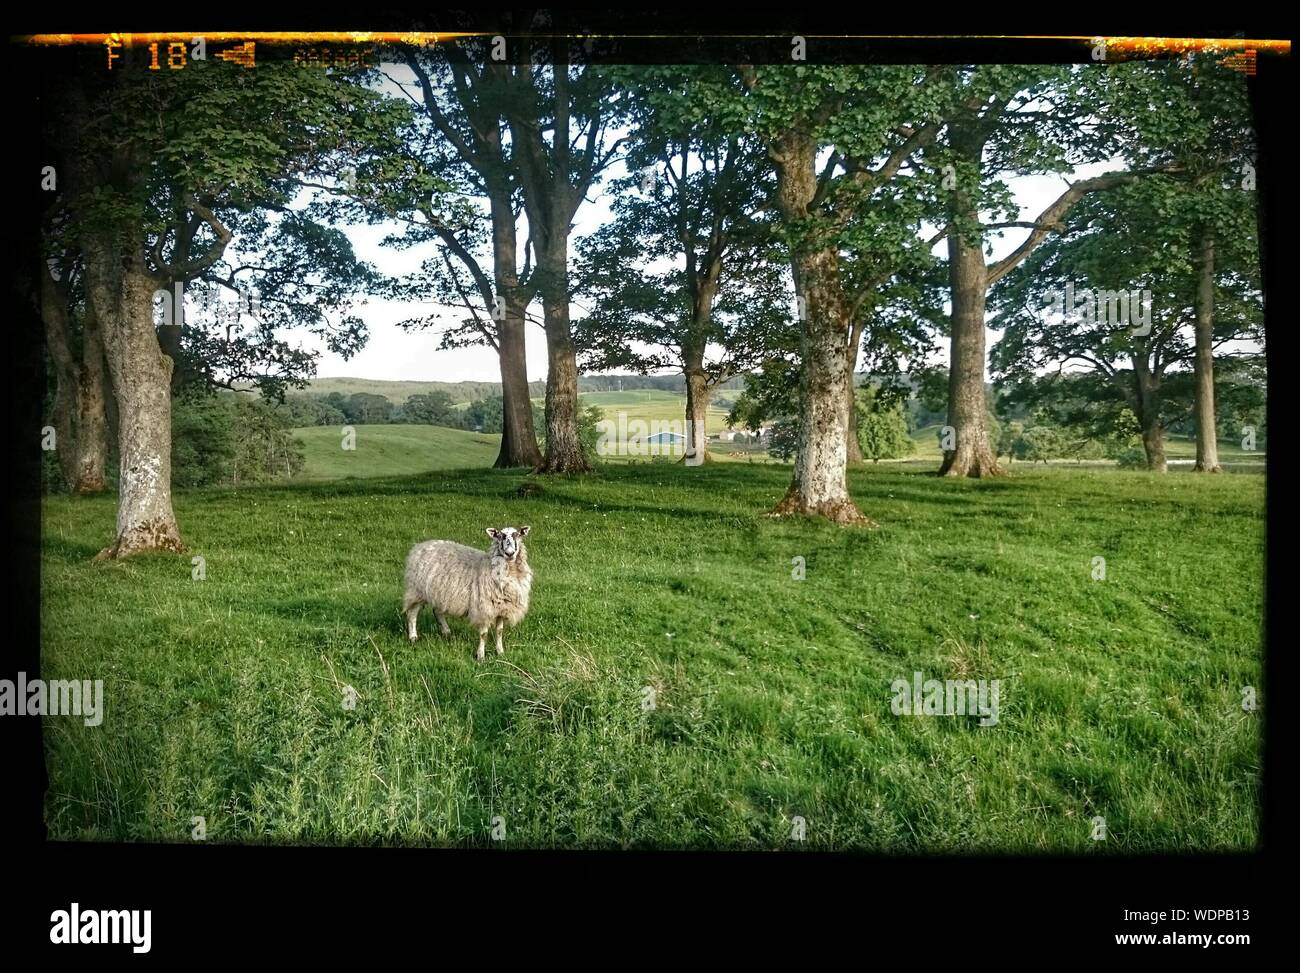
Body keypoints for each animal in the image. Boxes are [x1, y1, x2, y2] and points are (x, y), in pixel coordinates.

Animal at [402, 526, 532, 661]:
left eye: (518, 535)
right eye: (500, 536)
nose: (509, 553)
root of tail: (420, 546)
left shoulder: (501, 608)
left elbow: (499, 631)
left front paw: (500, 652)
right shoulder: (484, 609)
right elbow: (484, 634)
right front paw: (480, 656)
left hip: (440, 593)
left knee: (437, 611)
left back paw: (446, 632)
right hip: (417, 591)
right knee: (412, 613)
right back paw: (413, 637)